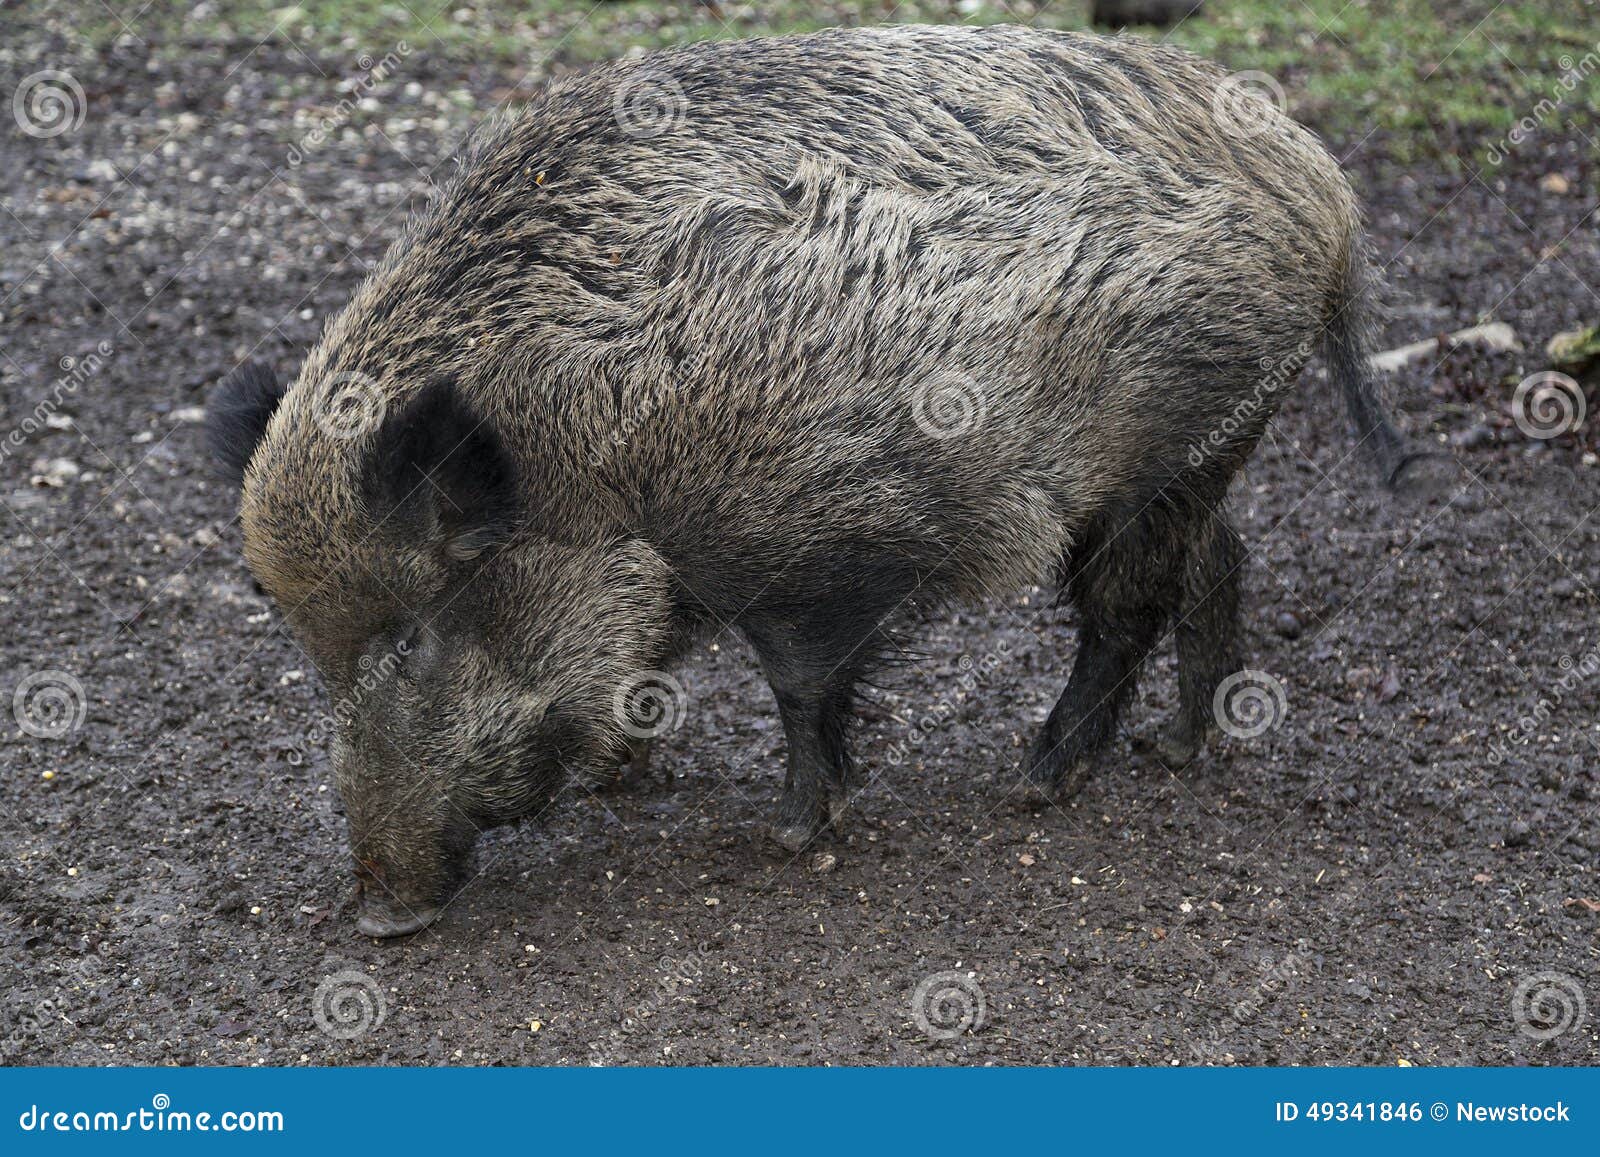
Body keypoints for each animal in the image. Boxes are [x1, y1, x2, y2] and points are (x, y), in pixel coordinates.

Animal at [208, 24, 1420, 936]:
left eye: (411, 636)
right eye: (309, 656)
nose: (379, 912)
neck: (591, 447)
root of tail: (1326, 195)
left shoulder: (812, 547)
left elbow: (801, 687)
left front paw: (788, 833)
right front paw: (624, 780)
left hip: (1171, 450)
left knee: (1124, 607)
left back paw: (1035, 779)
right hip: (1194, 458)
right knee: (1216, 561)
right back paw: (1176, 748)